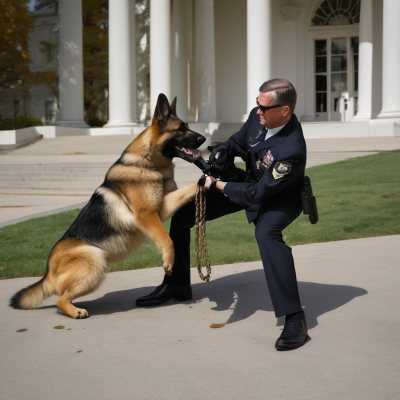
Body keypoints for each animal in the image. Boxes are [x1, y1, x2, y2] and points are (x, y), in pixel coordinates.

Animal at [10, 94, 205, 318]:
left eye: (187, 126)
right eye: (180, 128)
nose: (204, 140)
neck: (147, 161)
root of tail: (47, 274)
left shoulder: (160, 208)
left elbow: (191, 187)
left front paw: (213, 179)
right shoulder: (146, 214)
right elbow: (167, 240)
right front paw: (168, 261)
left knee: (63, 296)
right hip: (95, 259)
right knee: (60, 299)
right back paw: (75, 311)